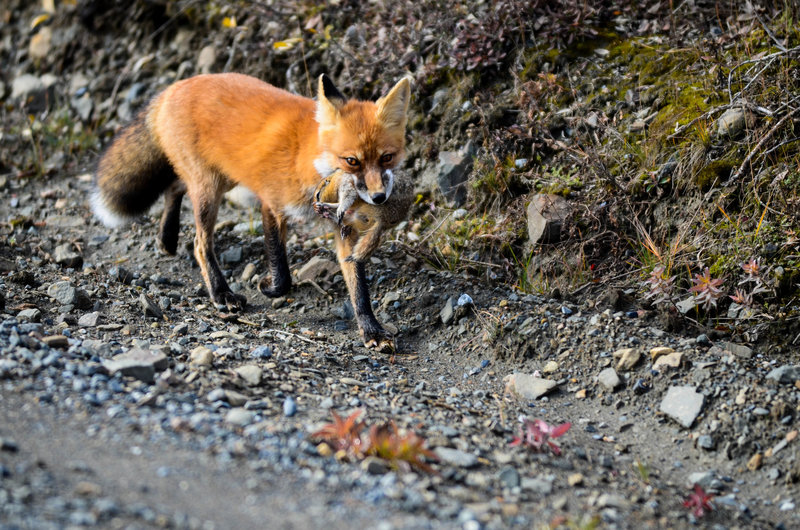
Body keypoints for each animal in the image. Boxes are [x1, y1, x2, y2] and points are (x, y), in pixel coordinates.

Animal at [91, 72, 411, 350]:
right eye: (351, 161)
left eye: (386, 157)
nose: (379, 198)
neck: (304, 155)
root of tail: (175, 86)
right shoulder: (272, 203)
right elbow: (281, 269)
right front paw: (268, 286)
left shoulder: (343, 227)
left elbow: (358, 286)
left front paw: (371, 330)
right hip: (209, 189)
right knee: (199, 242)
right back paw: (221, 292)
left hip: (222, 178)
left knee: (173, 186)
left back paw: (167, 238)